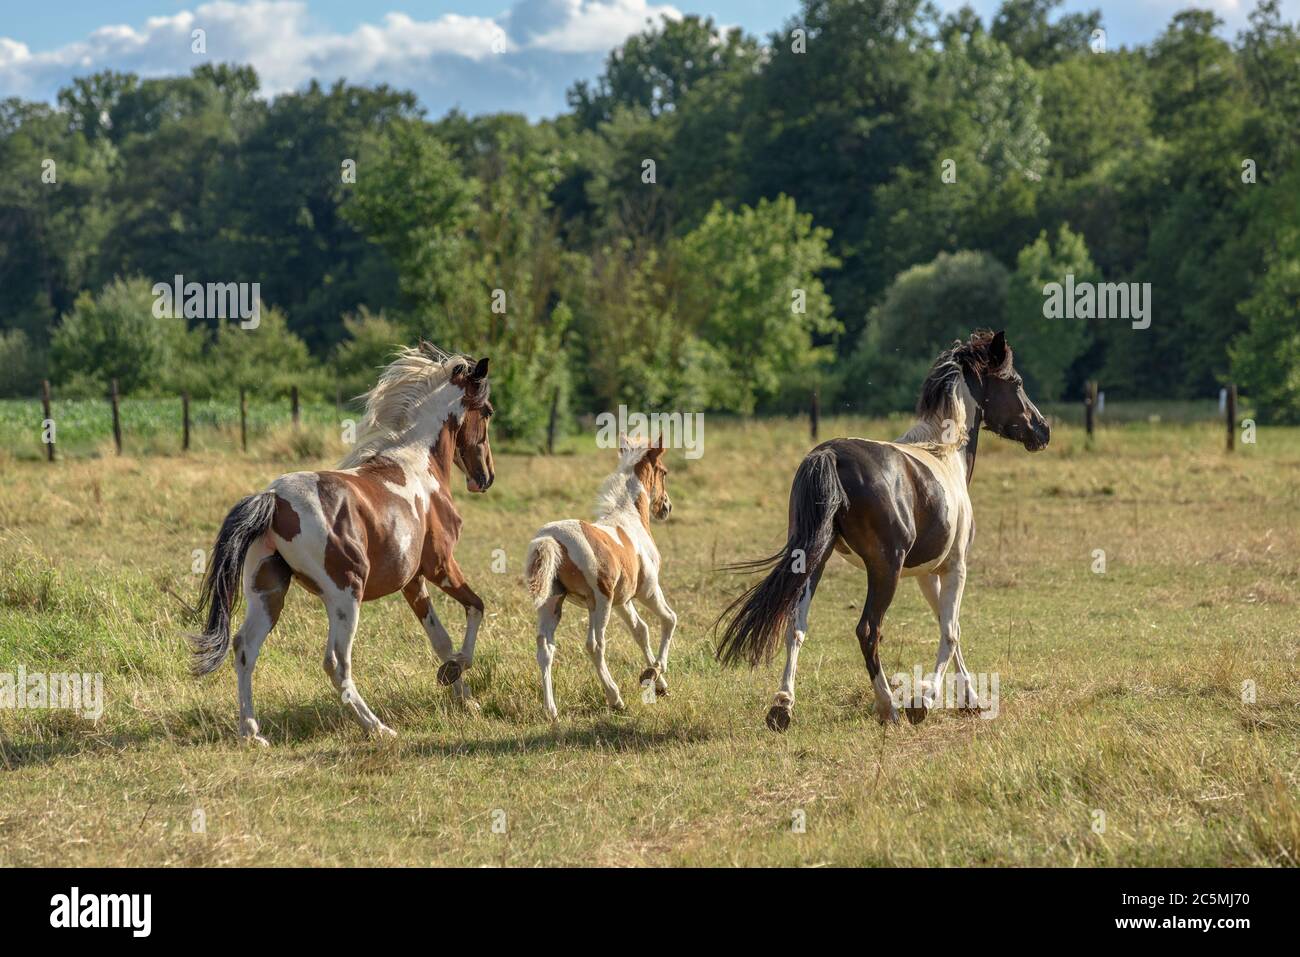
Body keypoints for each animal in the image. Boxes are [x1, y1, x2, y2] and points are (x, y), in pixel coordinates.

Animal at [188, 343, 495, 744]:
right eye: (487, 412)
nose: (485, 477)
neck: (417, 463)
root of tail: (273, 499)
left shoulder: (413, 581)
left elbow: (440, 639)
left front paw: (464, 697)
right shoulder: (440, 565)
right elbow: (476, 607)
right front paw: (456, 674)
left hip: (268, 591)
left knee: (244, 648)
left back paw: (252, 732)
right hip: (346, 594)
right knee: (336, 662)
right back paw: (378, 727)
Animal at [524, 434, 677, 719]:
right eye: (664, 471)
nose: (666, 507)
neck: (629, 518)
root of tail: (550, 538)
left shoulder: (623, 601)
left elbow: (641, 631)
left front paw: (658, 684)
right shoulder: (648, 590)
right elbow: (669, 620)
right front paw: (655, 671)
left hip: (552, 601)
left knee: (545, 647)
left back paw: (551, 710)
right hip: (599, 602)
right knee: (595, 645)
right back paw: (615, 698)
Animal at [715, 329, 1050, 731]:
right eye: (1015, 382)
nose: (1043, 430)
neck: (945, 454)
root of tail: (830, 455)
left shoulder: (926, 573)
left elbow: (946, 624)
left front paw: (970, 699)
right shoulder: (955, 566)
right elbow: (951, 631)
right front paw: (924, 701)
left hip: (813, 558)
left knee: (796, 624)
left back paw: (783, 706)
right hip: (883, 568)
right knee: (868, 630)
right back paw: (888, 706)